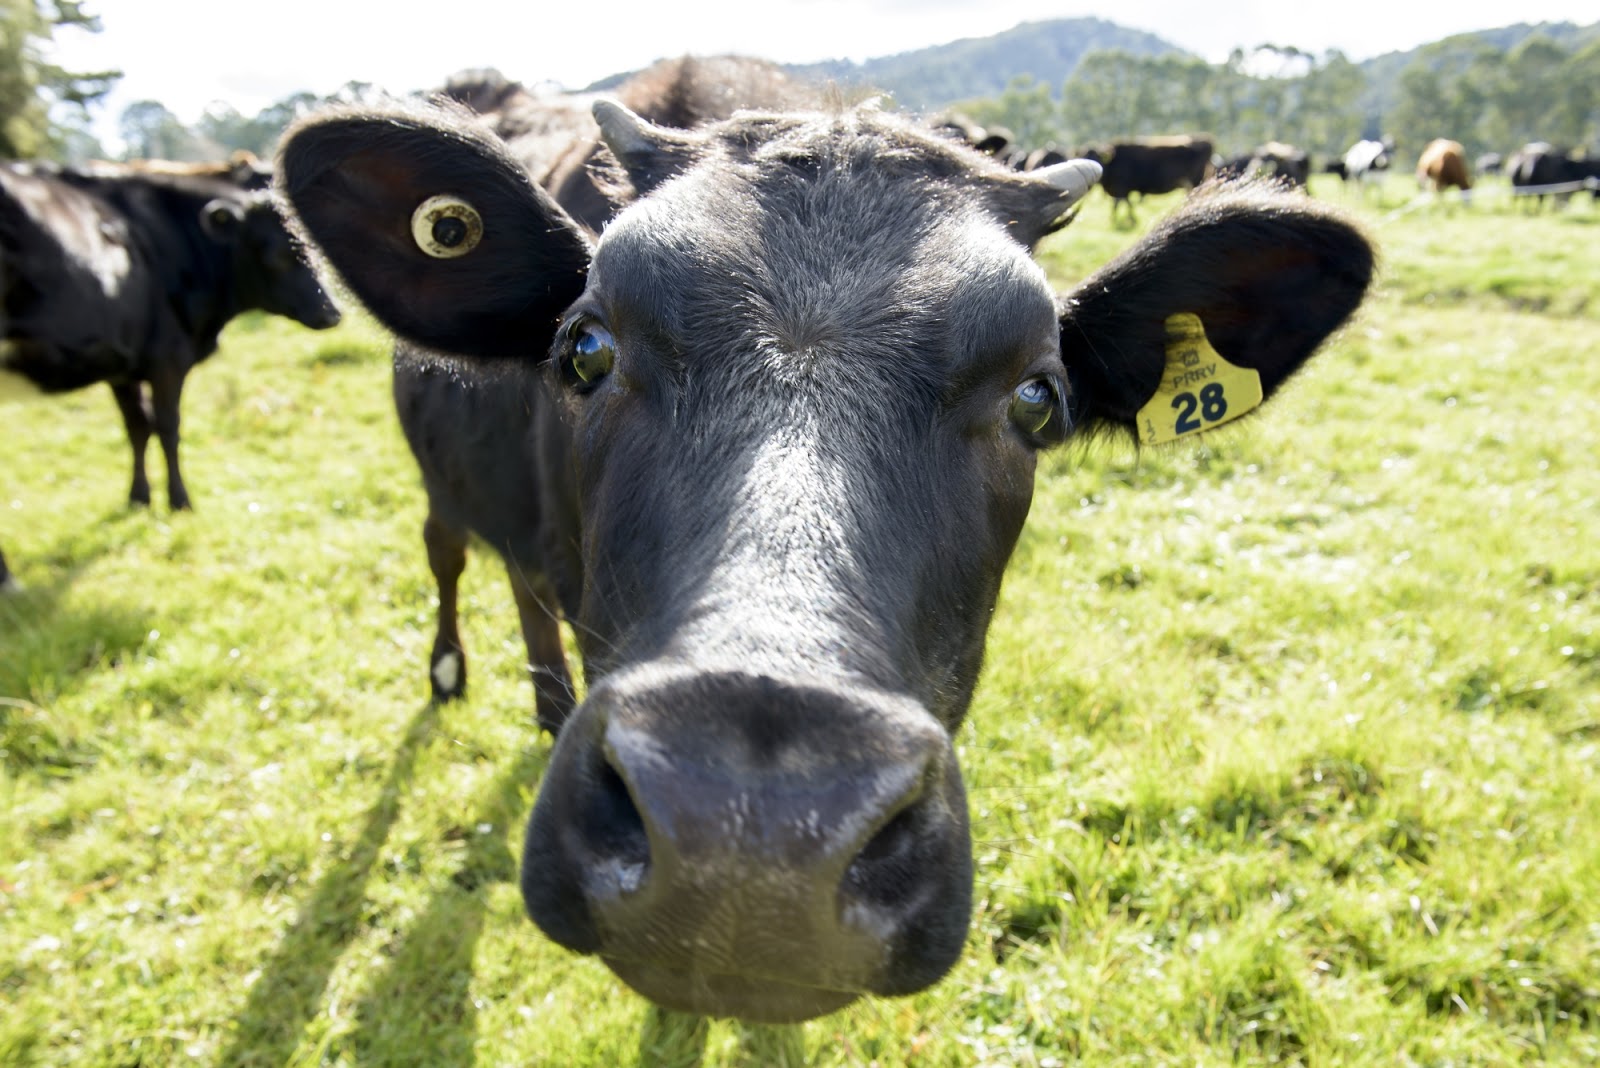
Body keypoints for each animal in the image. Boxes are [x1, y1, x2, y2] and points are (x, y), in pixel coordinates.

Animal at [0, 161, 341, 528]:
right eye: (275, 255)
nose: (331, 313)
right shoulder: (167, 358)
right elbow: (167, 426)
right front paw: (180, 500)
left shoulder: (122, 364)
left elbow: (137, 427)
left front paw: (139, 498)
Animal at [1081, 135, 1215, 226]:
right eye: (1084, 157)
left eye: (1098, 158)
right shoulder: (1121, 190)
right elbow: (1120, 204)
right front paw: (1115, 219)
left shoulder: (1121, 188)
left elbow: (1123, 204)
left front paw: (1130, 220)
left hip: (1195, 182)